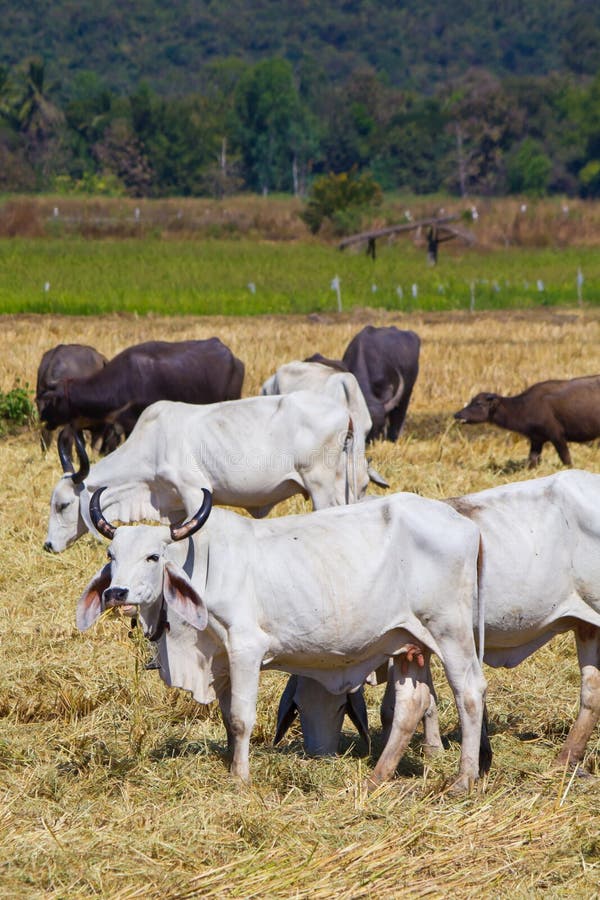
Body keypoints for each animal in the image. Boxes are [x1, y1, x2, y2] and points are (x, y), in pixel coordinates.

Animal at [44, 391, 369, 553]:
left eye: (63, 505)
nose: (48, 546)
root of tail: (345, 413)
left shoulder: (193, 493)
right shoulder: (173, 507)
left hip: (322, 487)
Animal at [77, 486, 490, 792]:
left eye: (152, 556)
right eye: (111, 554)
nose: (116, 593)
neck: (203, 562)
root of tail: (468, 528)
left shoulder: (245, 647)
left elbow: (241, 717)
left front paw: (240, 778)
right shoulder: (221, 659)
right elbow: (227, 717)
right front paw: (232, 762)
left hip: (449, 631)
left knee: (469, 692)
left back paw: (463, 779)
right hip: (407, 640)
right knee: (411, 702)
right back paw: (377, 777)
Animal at [282, 471, 600, 771]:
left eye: (340, 708)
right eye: (298, 707)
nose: (319, 755)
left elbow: (400, 707)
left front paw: (429, 749)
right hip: (588, 627)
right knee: (591, 691)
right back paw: (566, 758)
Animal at [454, 375, 600, 467]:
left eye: (478, 403)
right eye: (471, 401)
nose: (457, 414)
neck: (523, 407)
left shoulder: (557, 435)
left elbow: (565, 457)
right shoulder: (536, 439)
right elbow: (532, 460)